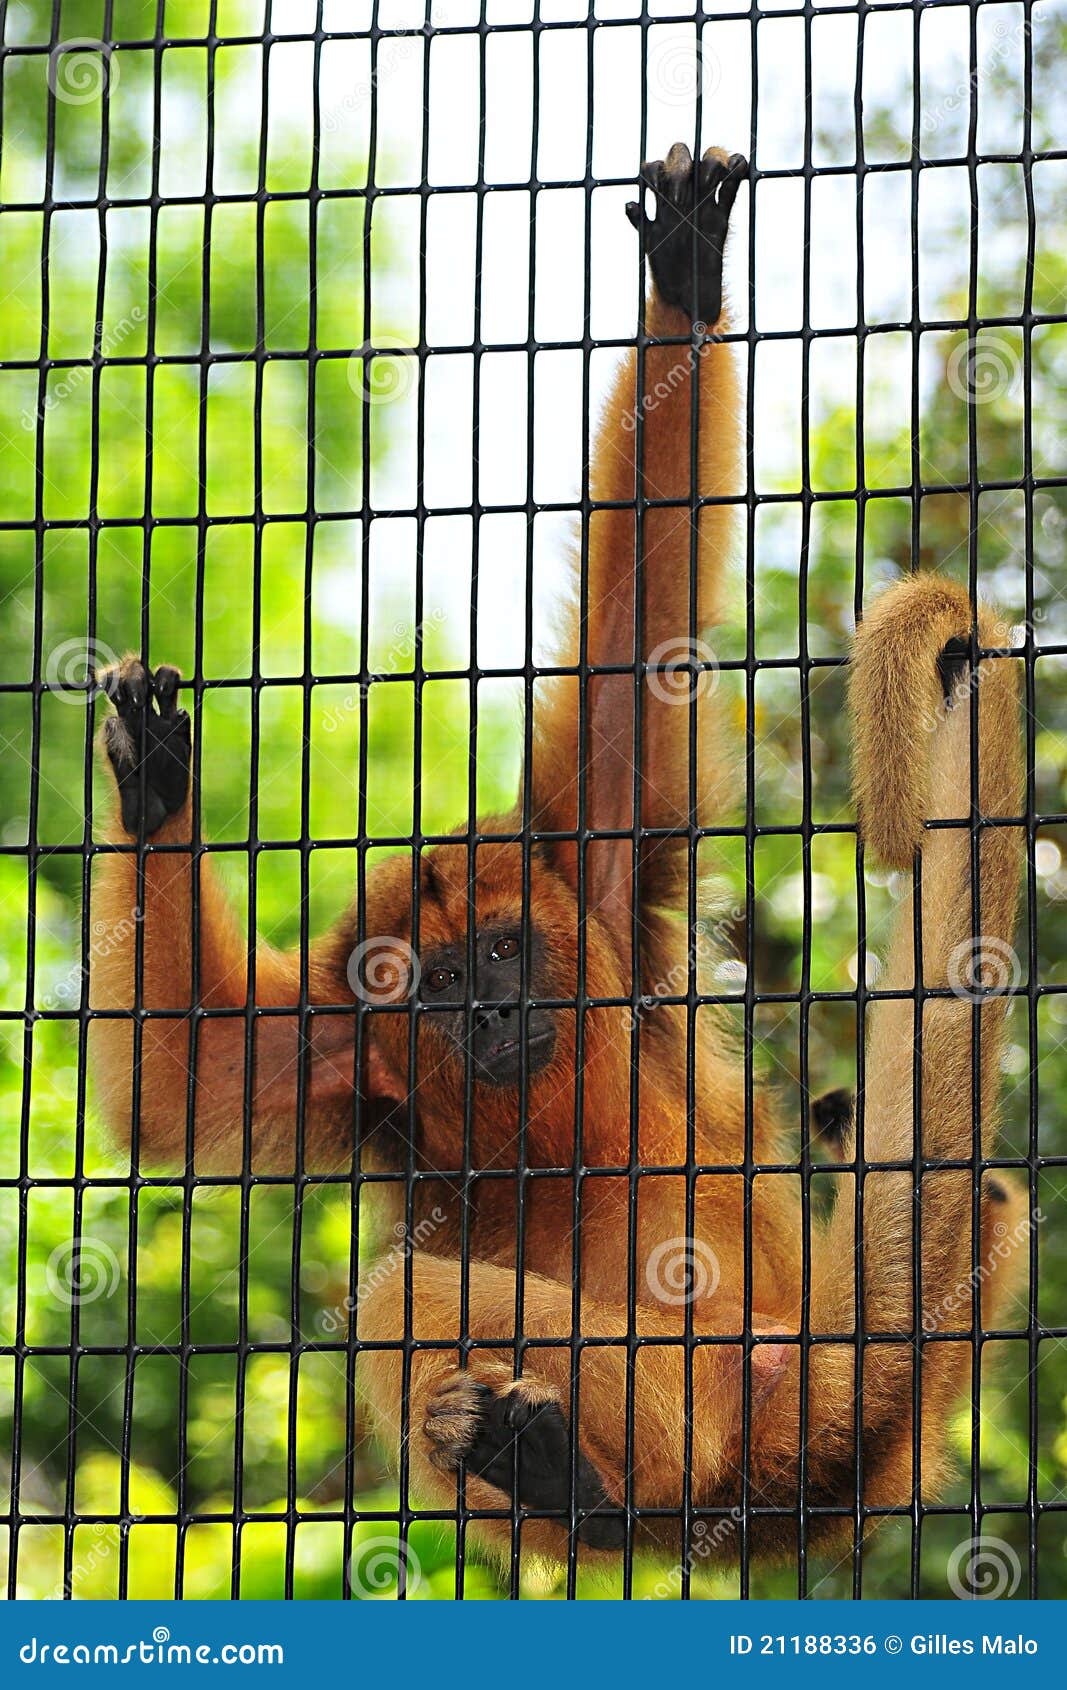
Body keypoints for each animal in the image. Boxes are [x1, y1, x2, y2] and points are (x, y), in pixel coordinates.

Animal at [90, 140, 1026, 1572]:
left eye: (499, 947)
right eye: (432, 985)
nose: (488, 1010)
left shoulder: (588, 868)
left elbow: (634, 644)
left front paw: (684, 281)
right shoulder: (343, 1042)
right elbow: (178, 1074)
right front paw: (150, 791)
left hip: (718, 1379)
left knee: (406, 1296)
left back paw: (573, 1471)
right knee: (402, 1302)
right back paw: (560, 1478)